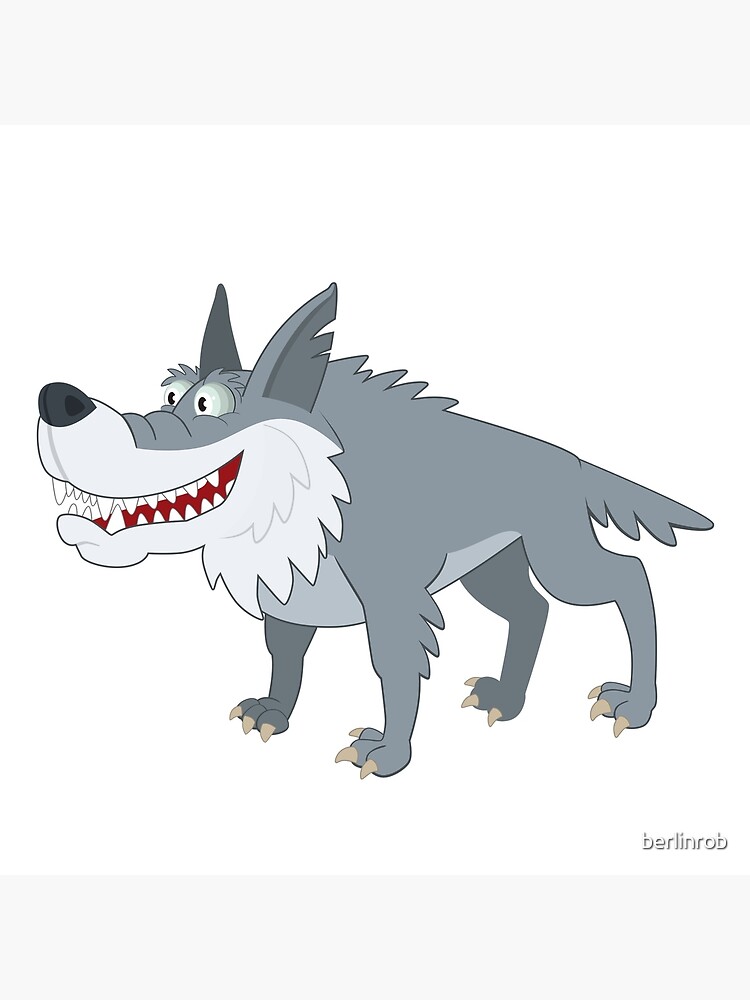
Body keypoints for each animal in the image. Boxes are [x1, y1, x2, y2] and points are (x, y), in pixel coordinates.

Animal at [37, 283, 713, 778]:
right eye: (169, 393)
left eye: (207, 407)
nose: (58, 401)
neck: (308, 501)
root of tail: (568, 460)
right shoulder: (291, 594)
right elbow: (285, 658)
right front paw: (272, 713)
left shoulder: (392, 599)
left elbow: (392, 669)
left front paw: (388, 754)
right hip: (490, 569)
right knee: (532, 610)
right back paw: (505, 700)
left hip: (560, 557)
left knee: (629, 577)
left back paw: (636, 704)